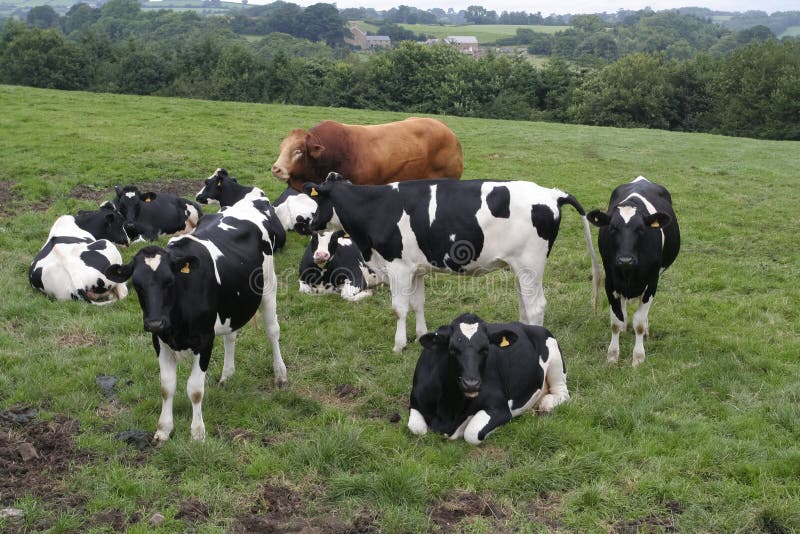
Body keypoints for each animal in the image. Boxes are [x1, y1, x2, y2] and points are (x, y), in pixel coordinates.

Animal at [104, 197, 287, 442]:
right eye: (138, 285)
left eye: (169, 281)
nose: (154, 323)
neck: (176, 324)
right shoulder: (159, 341)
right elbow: (166, 386)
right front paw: (163, 429)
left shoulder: (204, 340)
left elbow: (195, 389)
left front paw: (198, 432)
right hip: (231, 303)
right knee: (231, 336)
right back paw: (227, 375)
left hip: (268, 286)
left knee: (272, 330)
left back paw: (280, 375)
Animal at [304, 173, 601, 353]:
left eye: (317, 199)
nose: (309, 223)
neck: (377, 209)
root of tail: (552, 194)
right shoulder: (416, 268)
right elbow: (417, 303)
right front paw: (421, 336)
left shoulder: (398, 267)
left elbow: (399, 309)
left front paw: (399, 345)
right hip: (522, 269)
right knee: (525, 305)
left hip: (530, 265)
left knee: (537, 306)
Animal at [408, 313, 569, 445]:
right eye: (452, 349)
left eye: (485, 349)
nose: (471, 384)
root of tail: (530, 326)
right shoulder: (415, 401)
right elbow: (417, 428)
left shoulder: (500, 408)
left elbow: (472, 433)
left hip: (555, 359)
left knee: (562, 393)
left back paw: (546, 403)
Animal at [587, 176, 680, 366]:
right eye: (613, 228)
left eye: (641, 229)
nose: (625, 260)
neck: (629, 272)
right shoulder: (610, 282)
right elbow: (615, 321)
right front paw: (612, 355)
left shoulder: (651, 283)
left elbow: (639, 323)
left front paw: (638, 357)